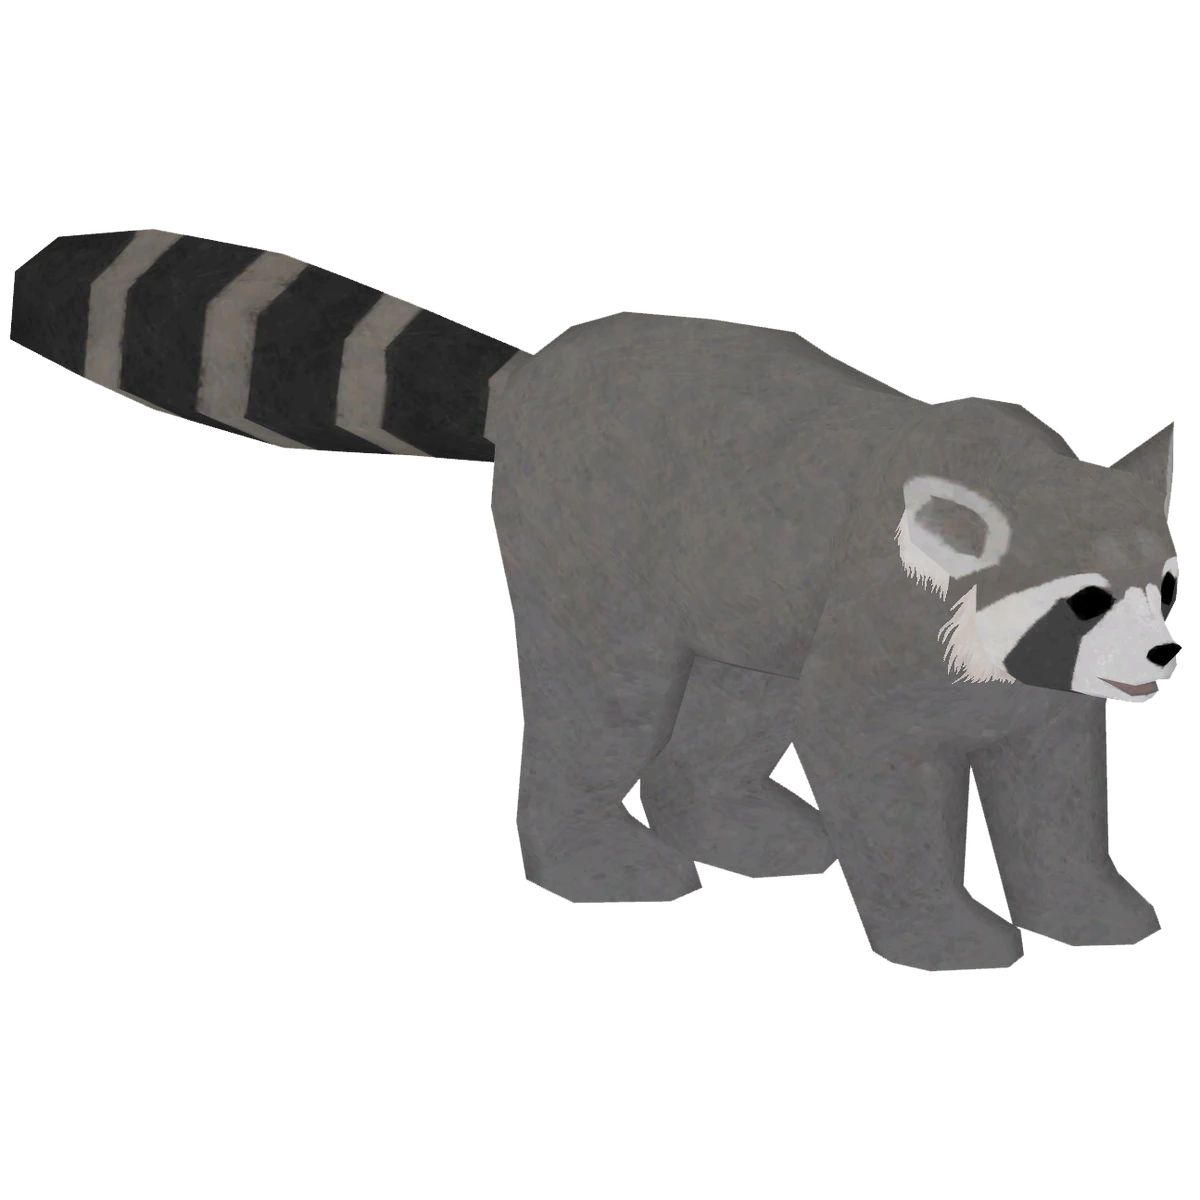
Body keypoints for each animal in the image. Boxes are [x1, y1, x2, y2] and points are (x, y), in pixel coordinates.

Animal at [9, 228, 1182, 972]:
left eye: (1161, 583)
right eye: (1083, 599)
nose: (1164, 657)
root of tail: (537, 374)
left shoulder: (1025, 693)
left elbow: (1050, 781)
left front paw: (1081, 902)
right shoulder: (883, 633)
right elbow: (875, 764)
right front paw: (939, 929)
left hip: (735, 563)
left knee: (737, 692)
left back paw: (726, 817)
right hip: (594, 547)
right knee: (611, 699)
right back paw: (594, 856)